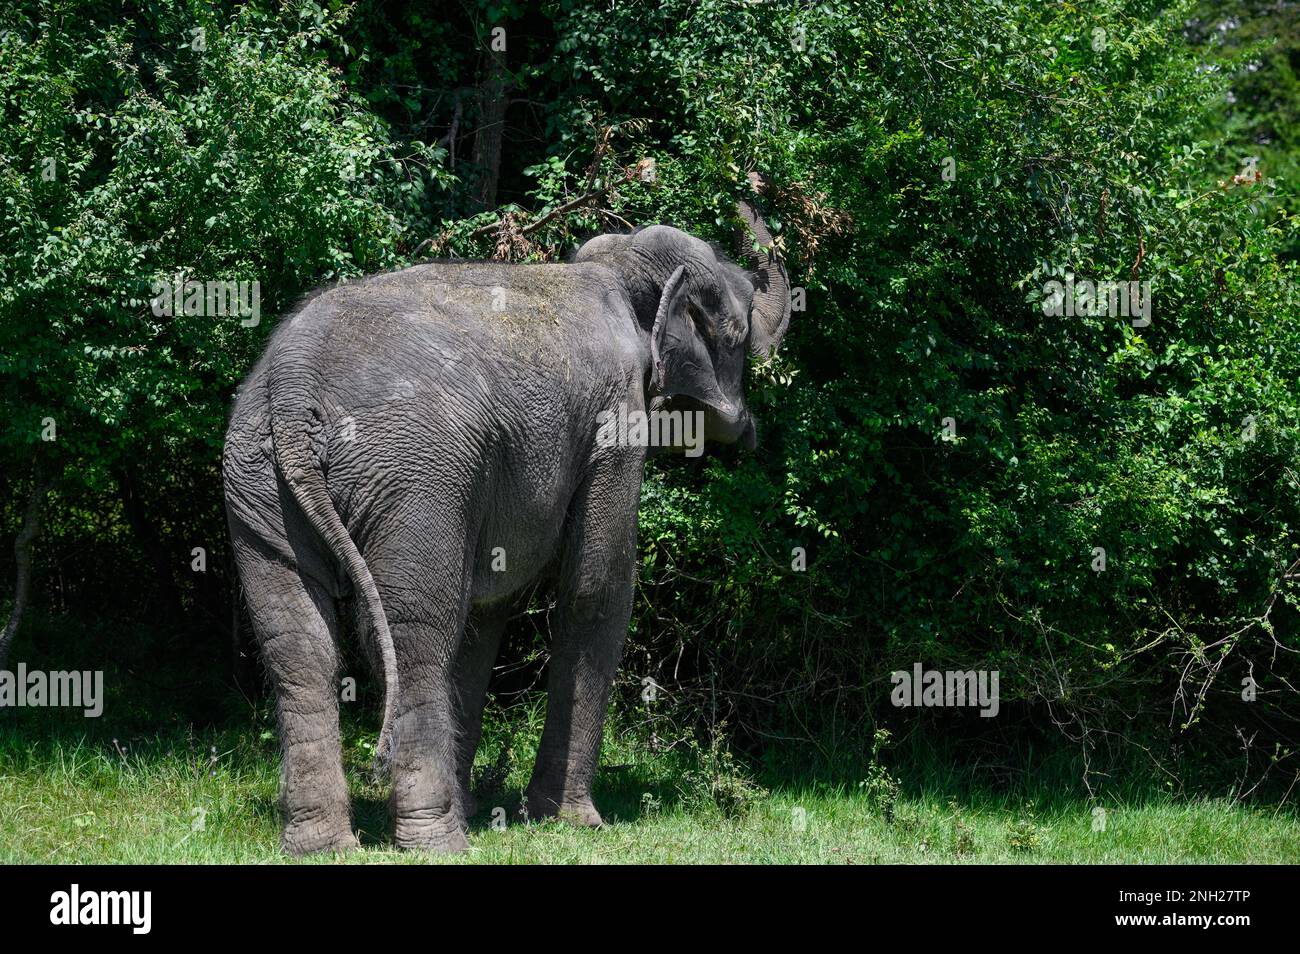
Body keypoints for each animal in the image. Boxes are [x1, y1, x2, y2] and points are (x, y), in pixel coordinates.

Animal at [221, 178, 792, 854]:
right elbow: (595, 589)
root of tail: (293, 382)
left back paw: (324, 846)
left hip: (255, 480)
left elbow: (487, 604)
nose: (744, 196)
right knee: (417, 632)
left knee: (297, 642)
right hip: (413, 476)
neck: (614, 270)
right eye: (735, 330)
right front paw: (573, 822)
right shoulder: (615, 417)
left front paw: (483, 807)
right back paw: (437, 842)